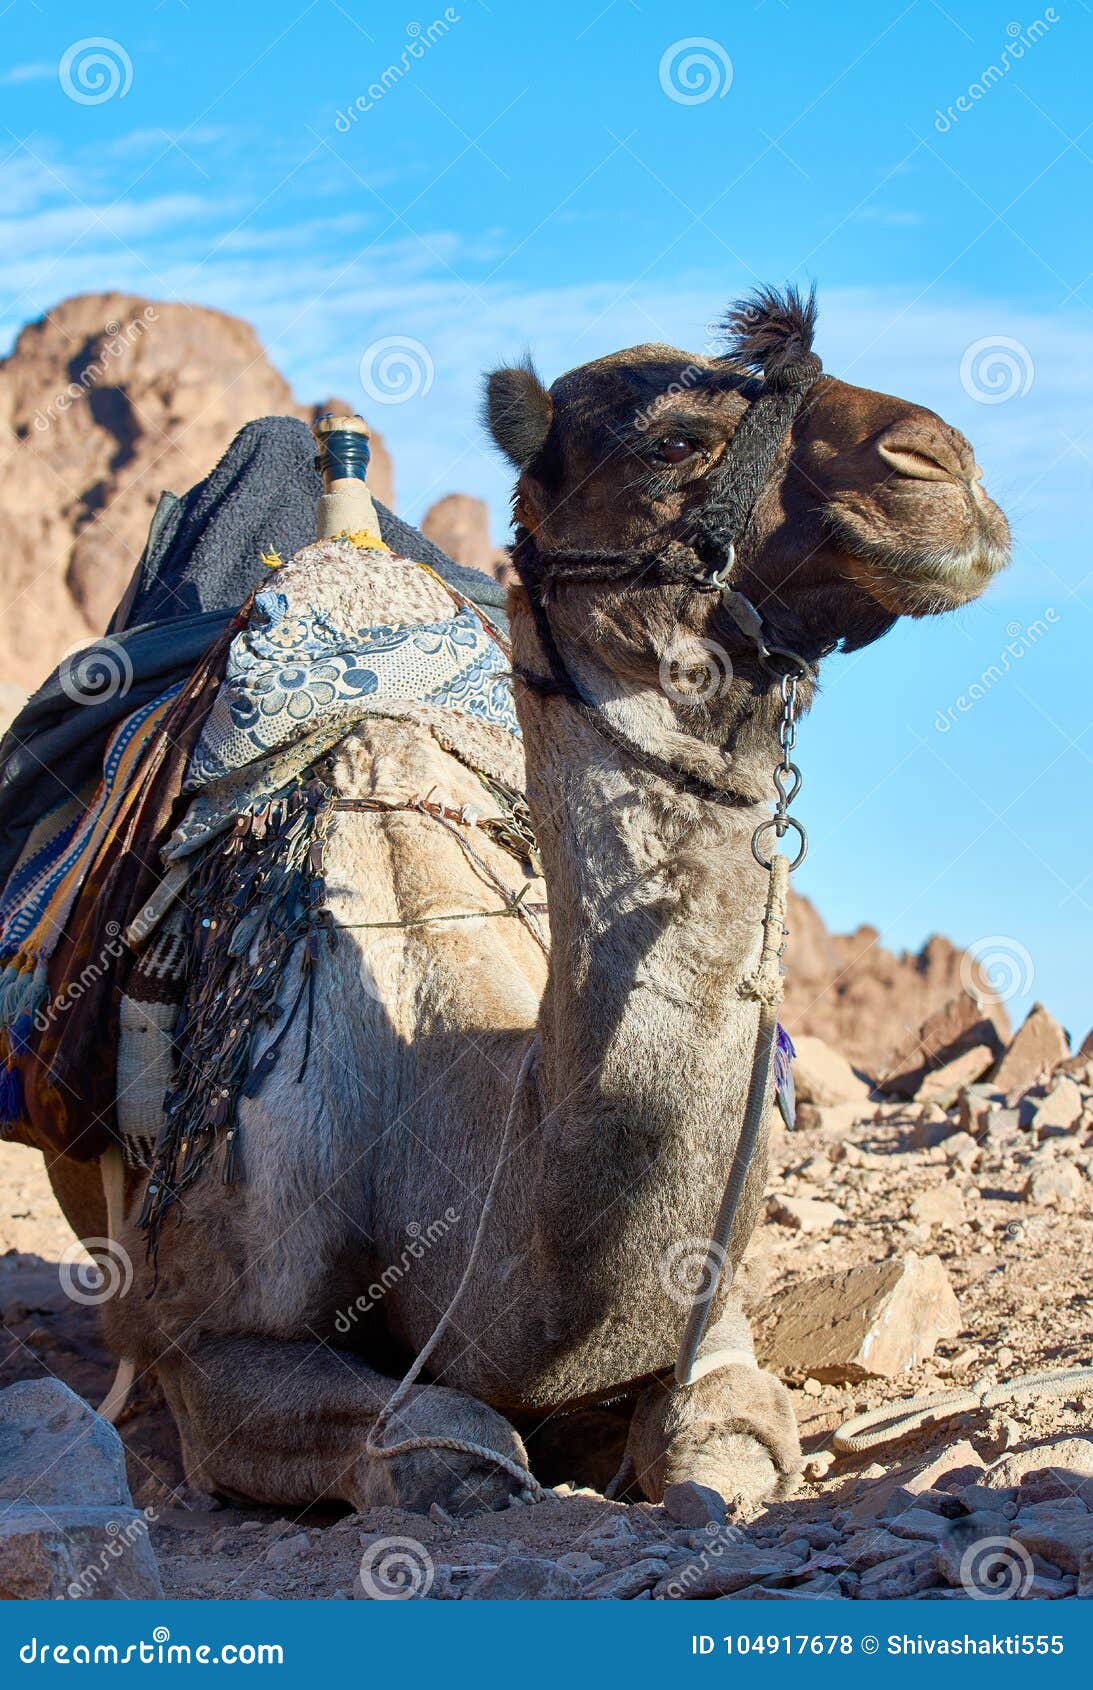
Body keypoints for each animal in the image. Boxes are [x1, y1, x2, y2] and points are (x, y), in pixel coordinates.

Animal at [41, 289, 1010, 1518]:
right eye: (673, 441)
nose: (942, 465)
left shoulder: (715, 1322)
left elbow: (726, 1439)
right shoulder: (202, 1332)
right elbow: (457, 1447)